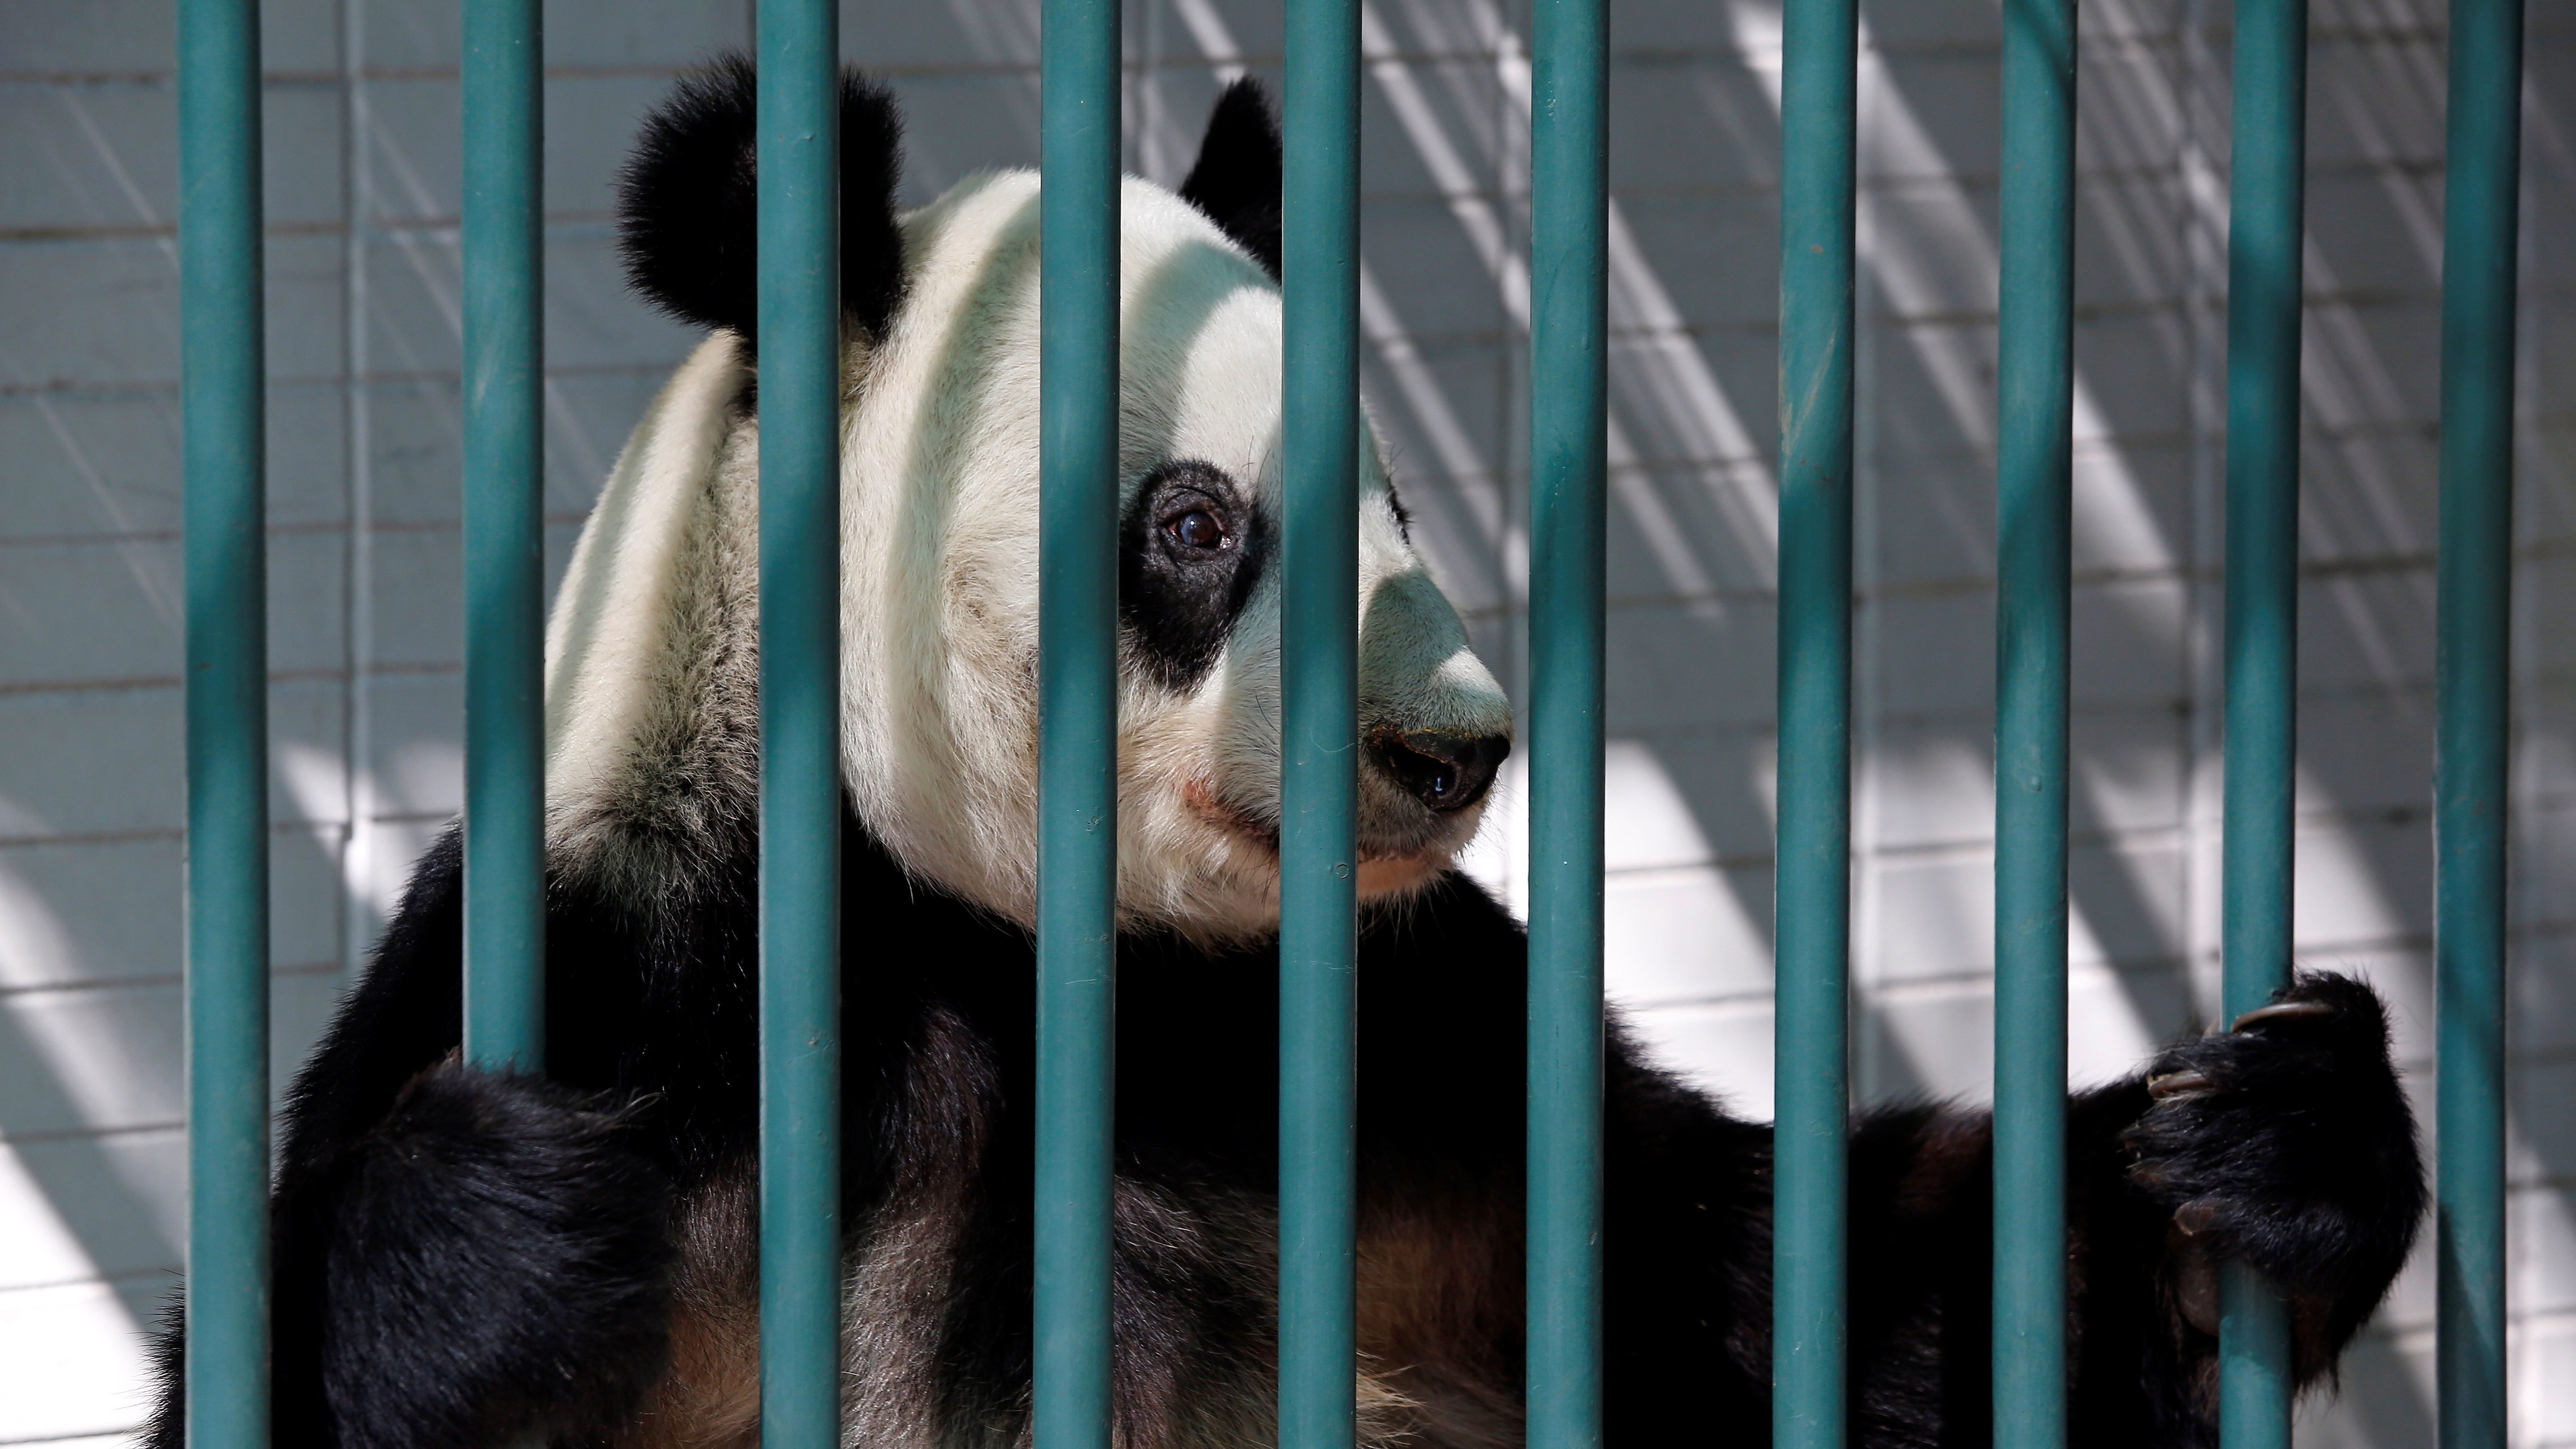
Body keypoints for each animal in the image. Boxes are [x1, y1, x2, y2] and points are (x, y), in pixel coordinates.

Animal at [147, 59, 2425, 1449]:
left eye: (1402, 501)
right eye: (1192, 525)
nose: (1458, 750)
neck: (1010, 943)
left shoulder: (1413, 1051)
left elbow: (1777, 1298)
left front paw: (2261, 1147)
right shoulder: (638, 964)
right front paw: (487, 1222)